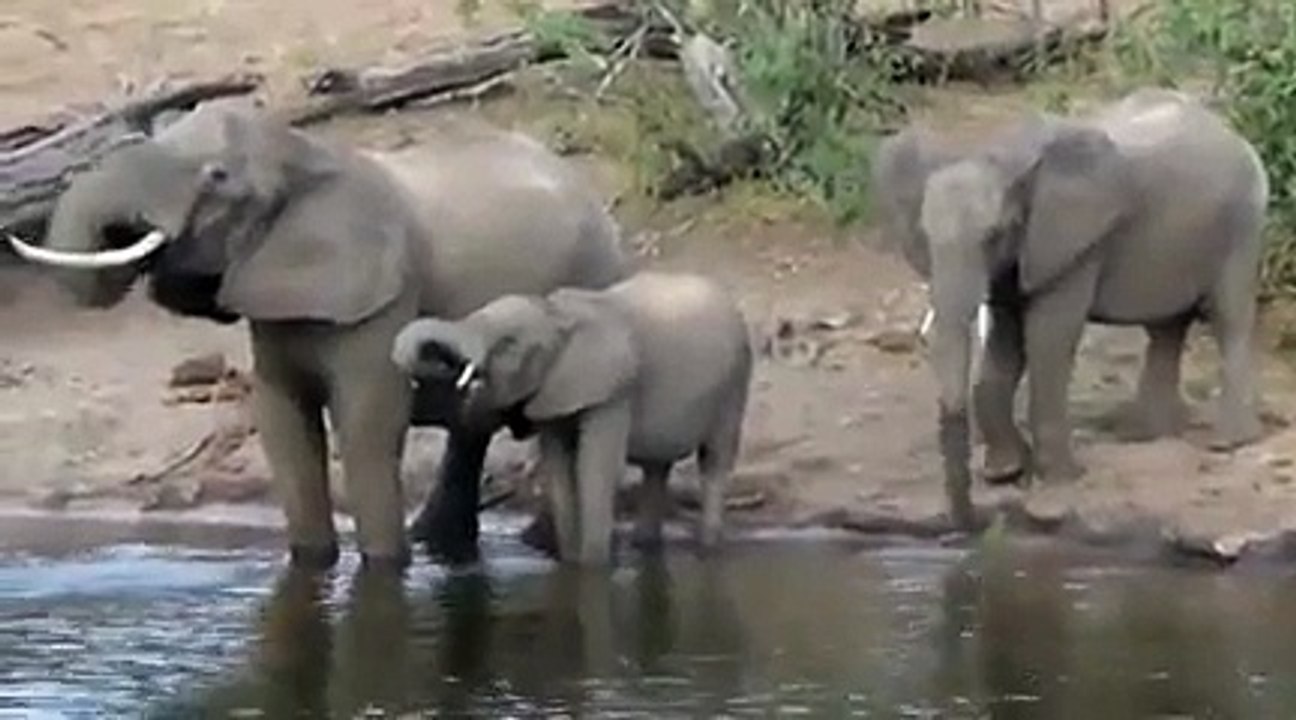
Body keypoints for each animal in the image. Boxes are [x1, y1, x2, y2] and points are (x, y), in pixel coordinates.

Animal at [6, 97, 630, 568]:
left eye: (217, 177)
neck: (302, 151)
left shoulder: (382, 296)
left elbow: (367, 423)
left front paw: (386, 567)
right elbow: (283, 422)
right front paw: (313, 563)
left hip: (592, 275)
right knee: (472, 431)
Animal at [390, 271, 754, 566]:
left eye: (508, 344)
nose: (446, 363)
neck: (555, 315)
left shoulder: (612, 388)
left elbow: (594, 468)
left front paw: (592, 568)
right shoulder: (554, 390)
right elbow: (560, 468)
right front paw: (570, 563)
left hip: (736, 381)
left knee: (714, 460)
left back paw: (708, 547)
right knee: (656, 468)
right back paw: (645, 546)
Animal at [871, 87, 1269, 527]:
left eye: (994, 235)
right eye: (924, 235)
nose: (971, 523)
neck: (1001, 154)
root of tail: (1232, 131)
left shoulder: (1072, 242)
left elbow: (1048, 338)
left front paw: (1053, 492)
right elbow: (1006, 343)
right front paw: (1005, 472)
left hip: (1242, 224)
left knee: (1229, 319)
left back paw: (1226, 443)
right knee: (1167, 327)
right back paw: (1147, 434)